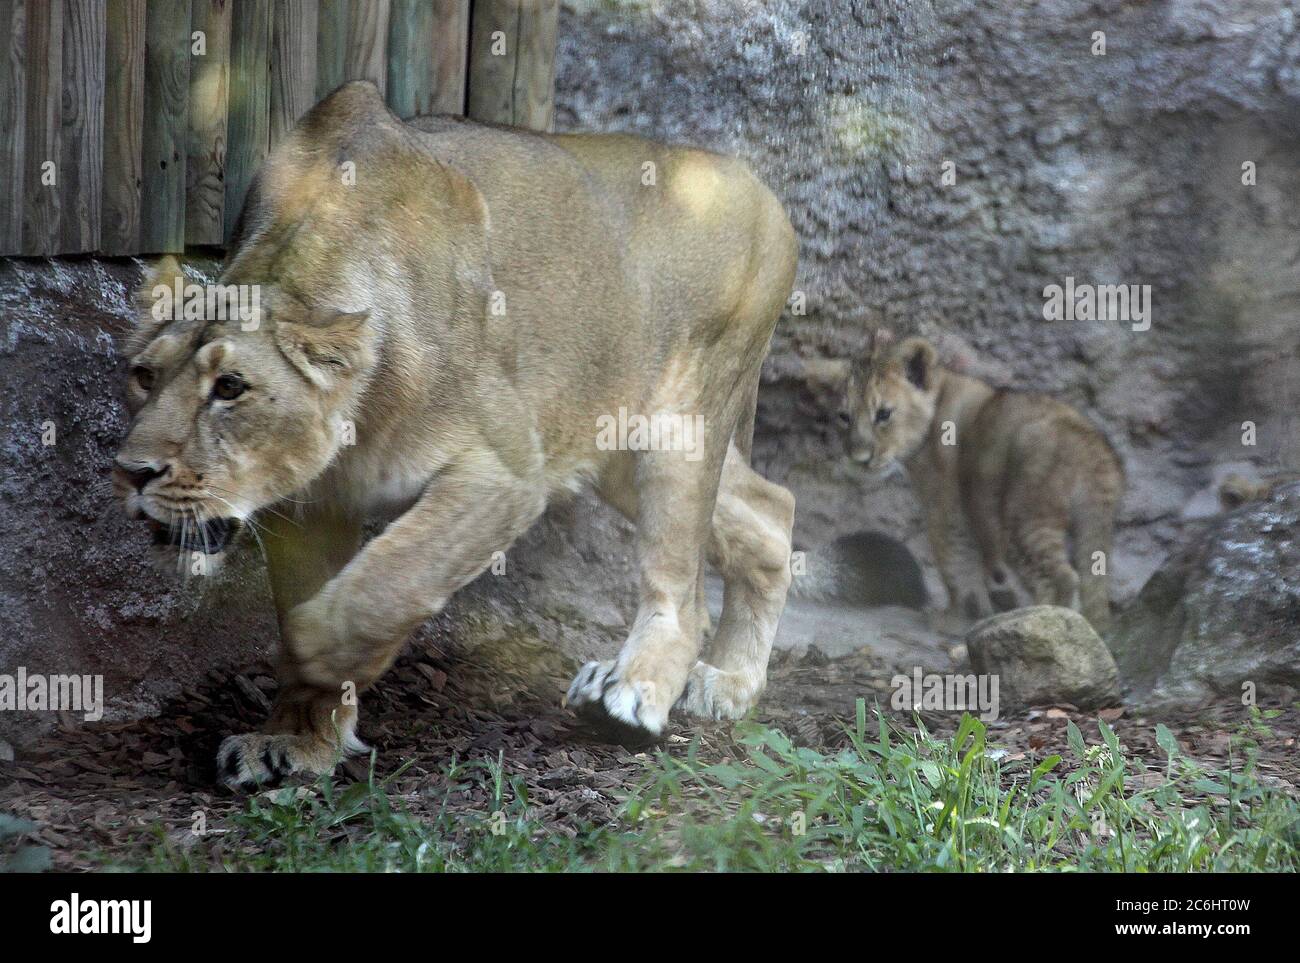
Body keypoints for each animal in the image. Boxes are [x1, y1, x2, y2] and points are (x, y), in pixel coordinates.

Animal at [112, 82, 797, 788]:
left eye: (230, 388)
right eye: (143, 375)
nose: (133, 472)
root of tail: (748, 179)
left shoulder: (506, 471)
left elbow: (380, 586)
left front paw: (314, 664)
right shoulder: (308, 502)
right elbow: (319, 591)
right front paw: (294, 740)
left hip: (680, 423)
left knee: (683, 590)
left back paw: (631, 694)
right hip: (613, 441)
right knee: (771, 510)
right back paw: (729, 683)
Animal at [839, 329, 1124, 632]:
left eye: (883, 414)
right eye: (844, 417)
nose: (859, 459)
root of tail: (1090, 444)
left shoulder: (947, 510)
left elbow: (955, 563)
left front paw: (953, 618)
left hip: (1023, 515)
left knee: (1061, 578)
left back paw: (1040, 620)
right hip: (1086, 521)